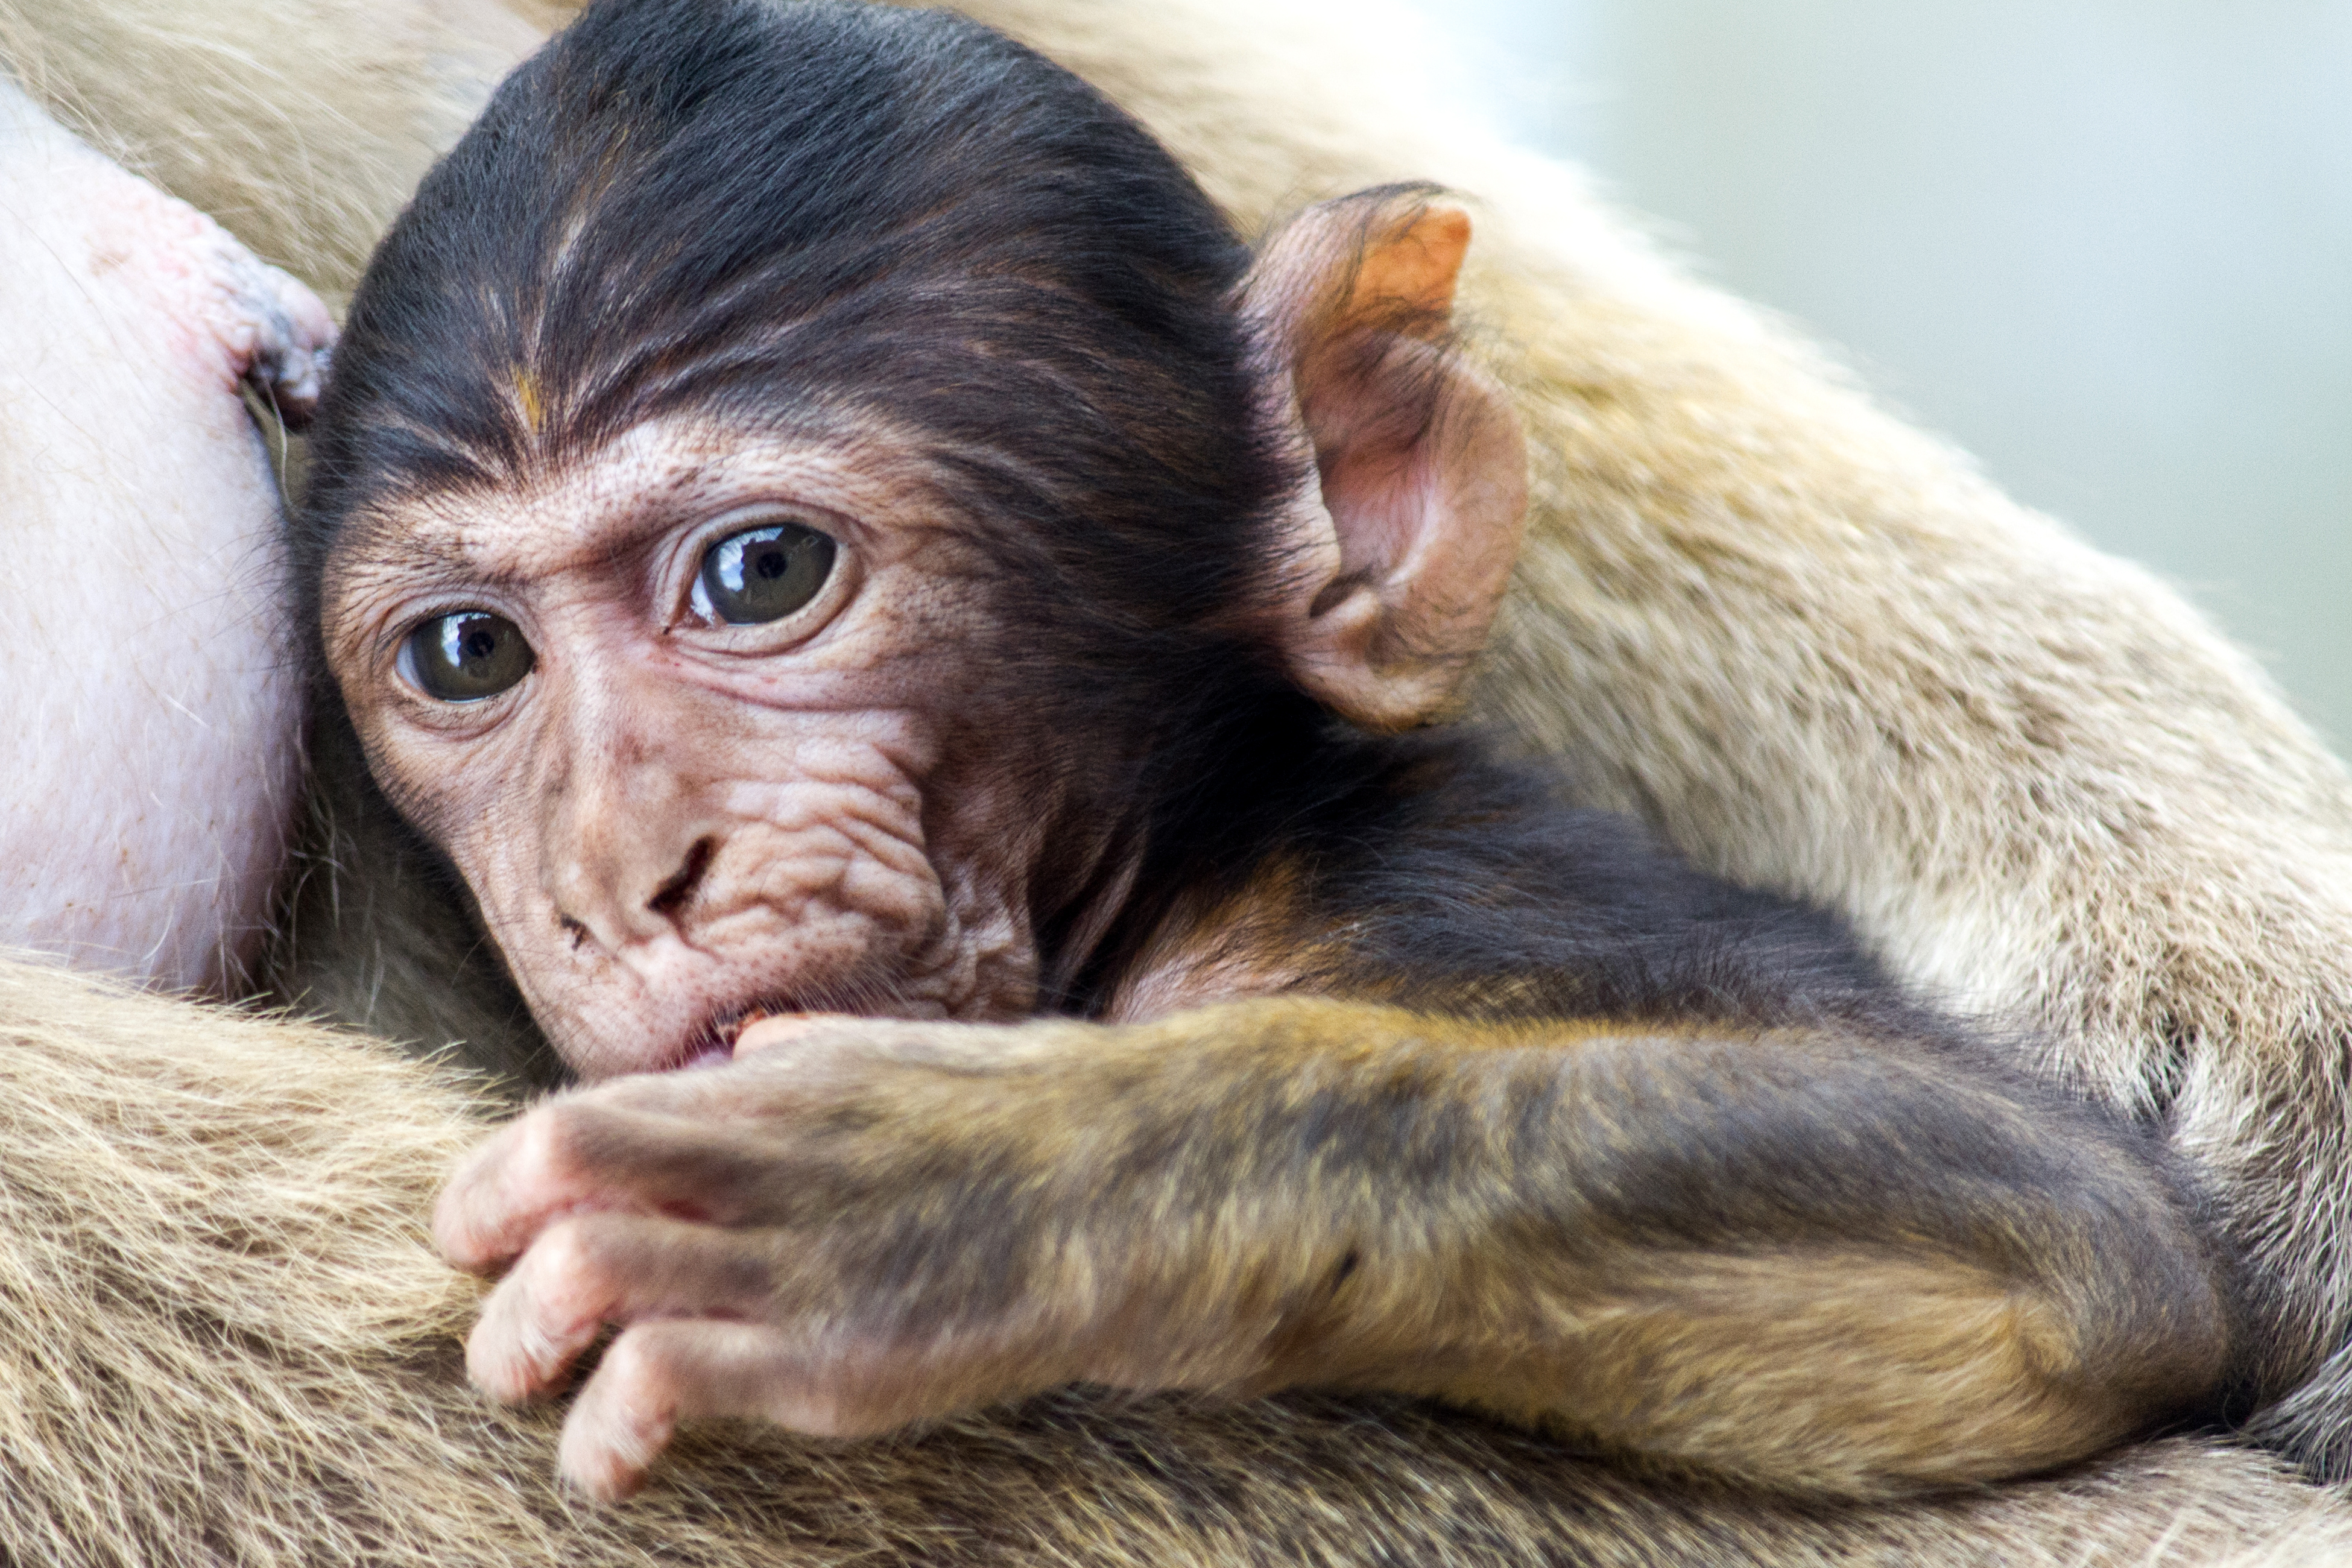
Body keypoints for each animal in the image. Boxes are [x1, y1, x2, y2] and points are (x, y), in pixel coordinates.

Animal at [2, 0, 2352, 1560]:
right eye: (467, 659)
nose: (619, 871)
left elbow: (2034, 1232)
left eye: (759, 578)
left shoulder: (1428, 898)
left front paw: (962, 1201)